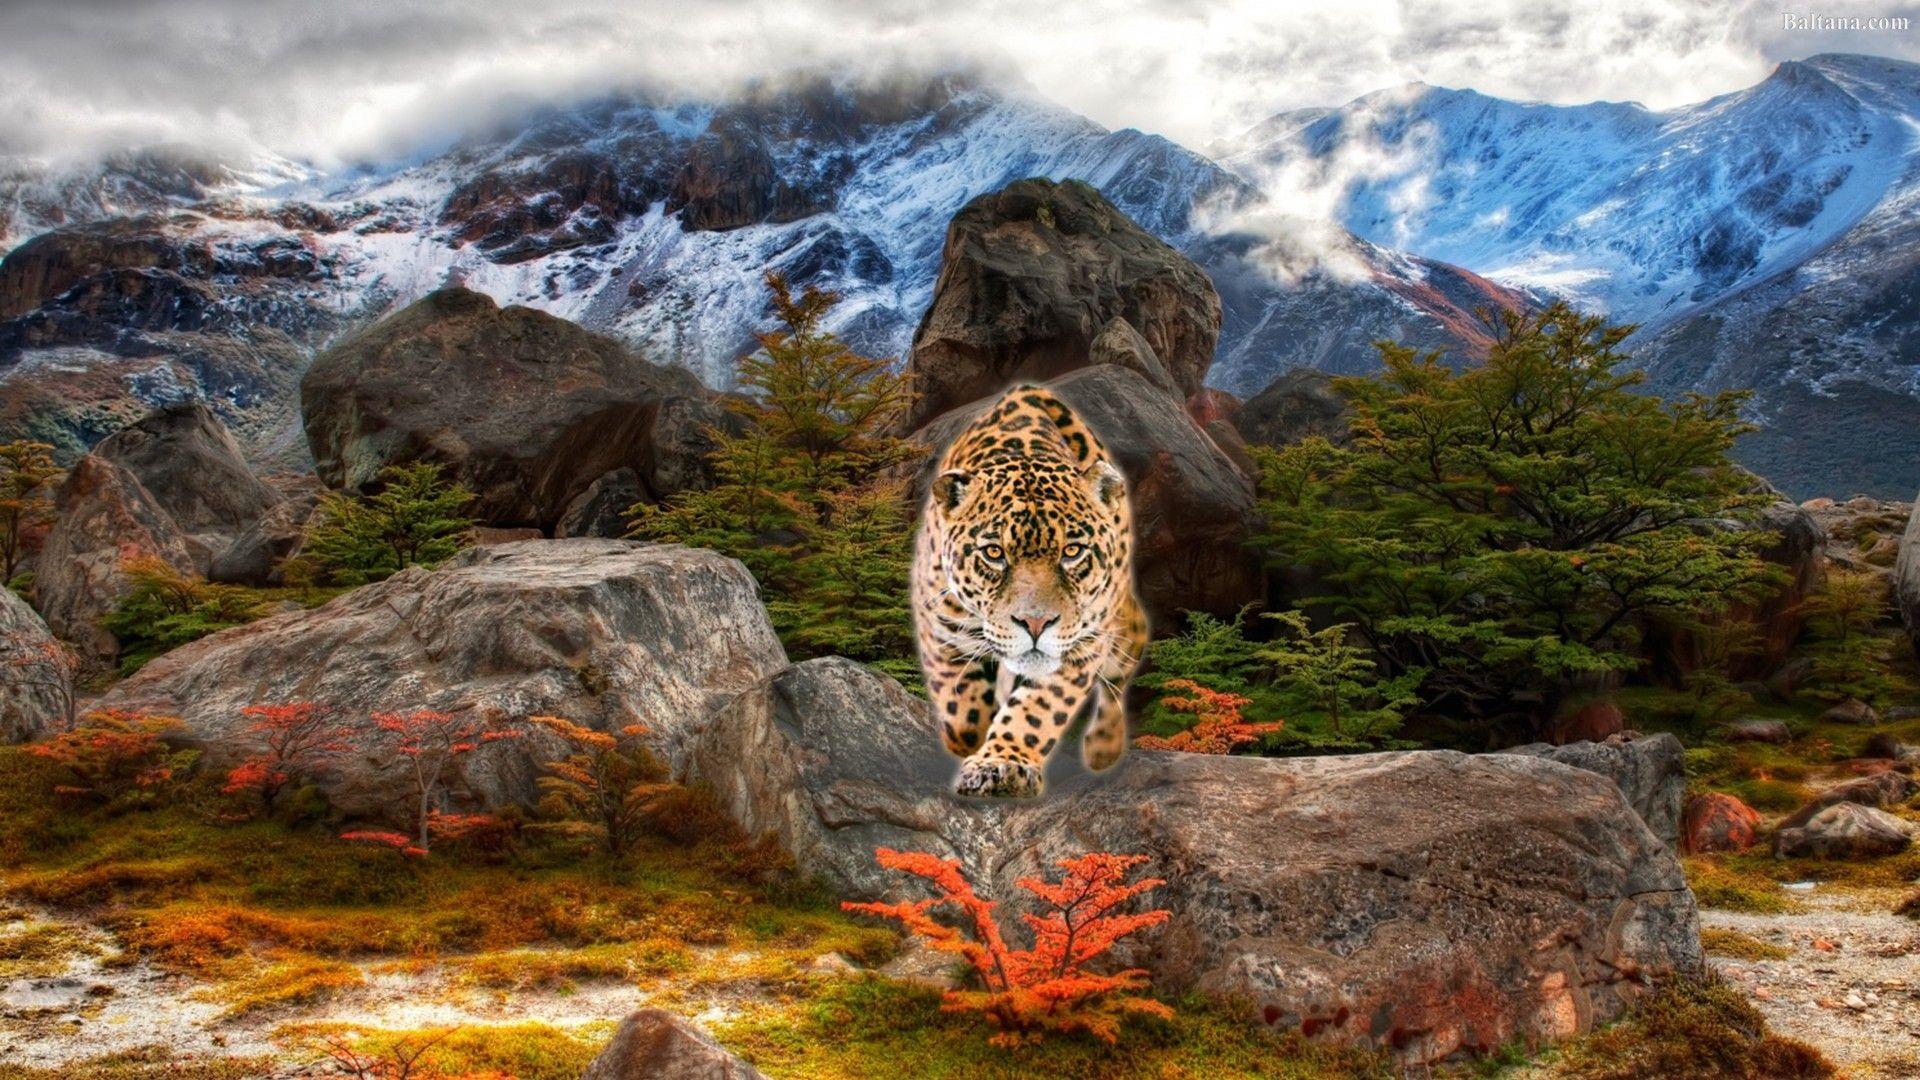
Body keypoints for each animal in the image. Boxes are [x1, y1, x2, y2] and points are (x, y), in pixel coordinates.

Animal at [911, 383, 1149, 799]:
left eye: (1072, 551)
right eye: (994, 553)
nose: (1036, 624)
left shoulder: (1081, 646)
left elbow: (1037, 710)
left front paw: (1002, 764)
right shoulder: (939, 625)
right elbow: (962, 709)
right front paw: (974, 740)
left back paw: (1104, 746)